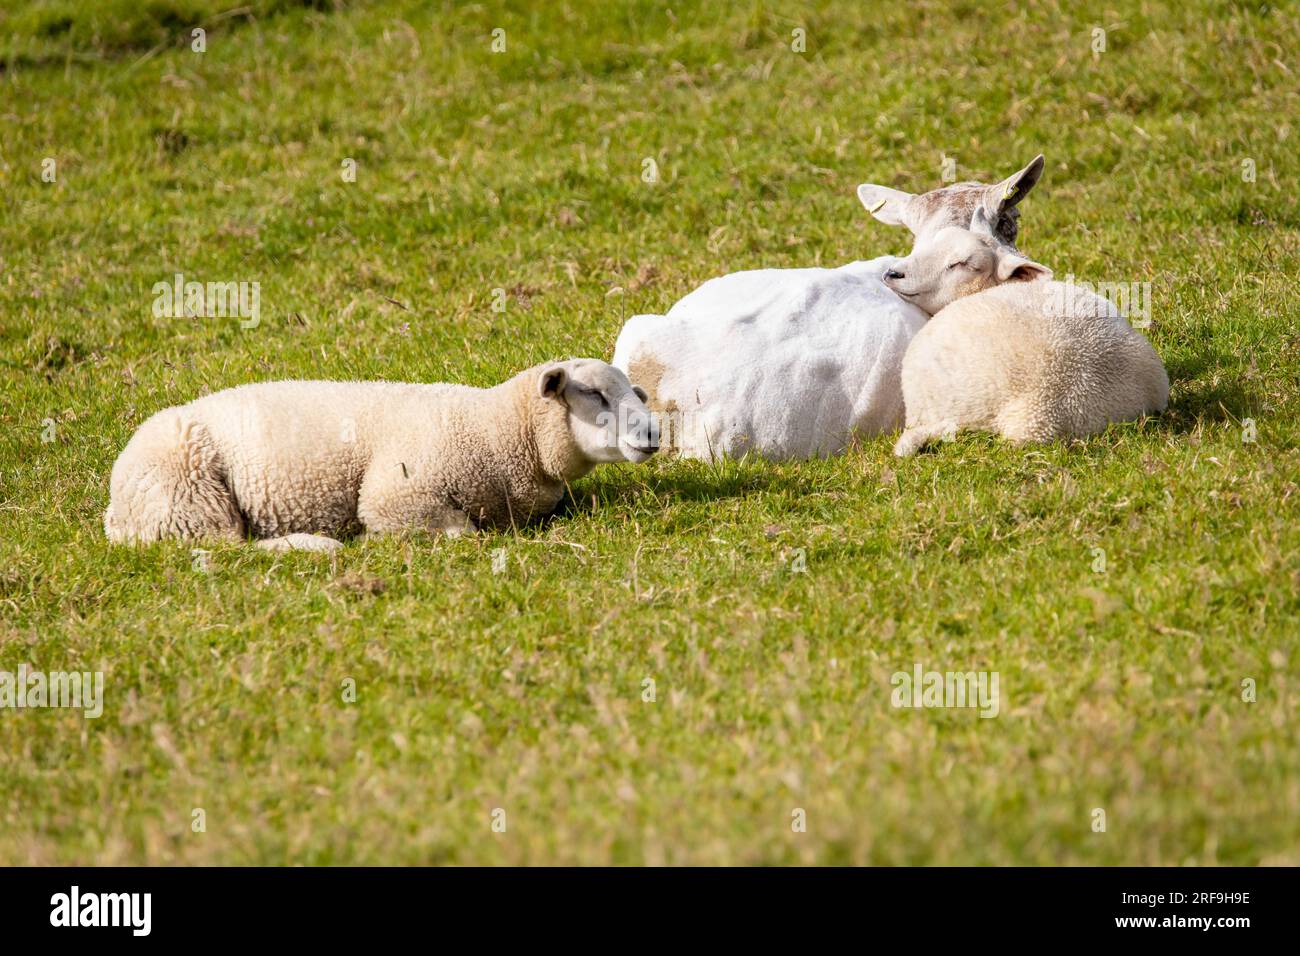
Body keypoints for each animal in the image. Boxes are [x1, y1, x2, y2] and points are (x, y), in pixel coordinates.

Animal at [103, 359, 658, 551]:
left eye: (635, 392)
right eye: (594, 394)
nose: (653, 432)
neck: (494, 429)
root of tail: (115, 513)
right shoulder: (397, 493)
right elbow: (458, 532)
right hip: (190, 499)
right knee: (225, 548)